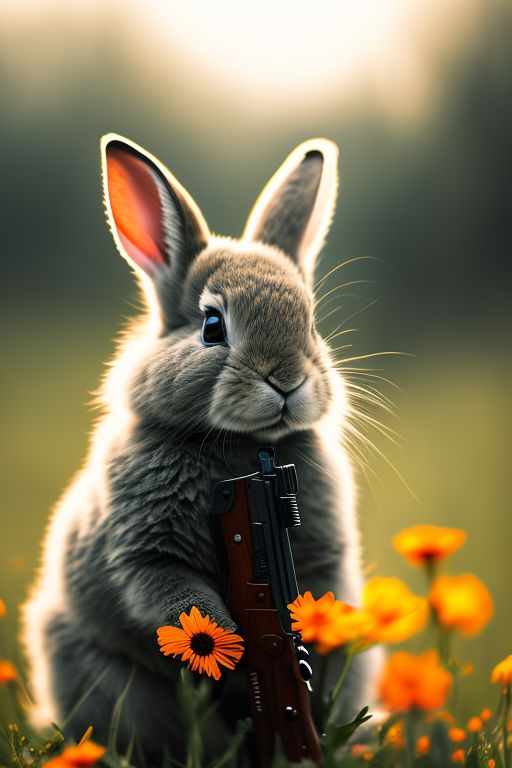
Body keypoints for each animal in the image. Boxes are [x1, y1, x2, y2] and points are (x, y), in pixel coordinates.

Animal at [21, 134, 382, 763]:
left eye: (311, 325)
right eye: (213, 326)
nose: (286, 380)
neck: (241, 448)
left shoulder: (325, 550)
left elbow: (322, 591)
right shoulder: (145, 554)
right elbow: (179, 600)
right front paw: (235, 645)